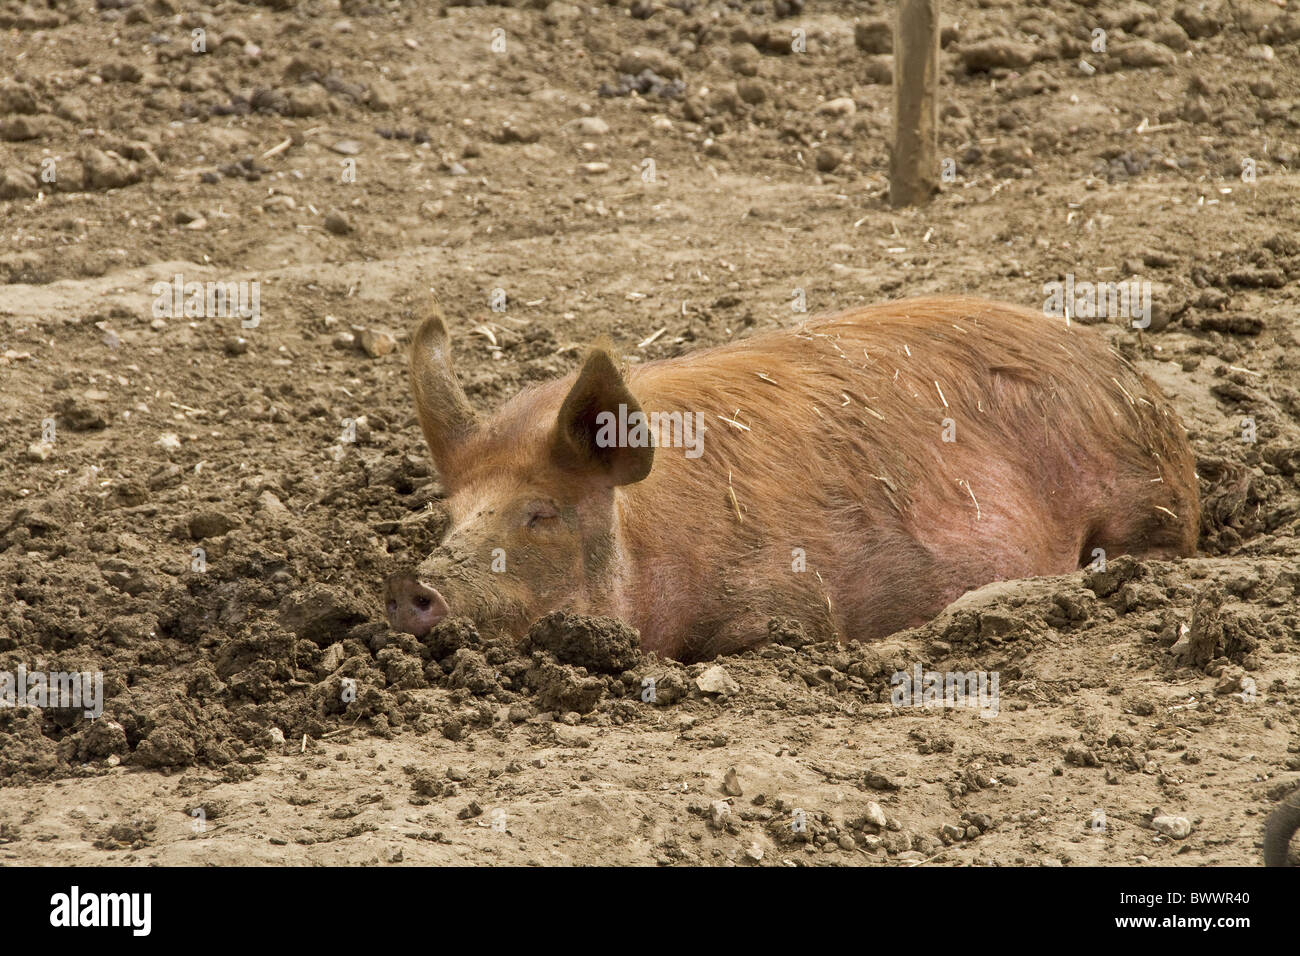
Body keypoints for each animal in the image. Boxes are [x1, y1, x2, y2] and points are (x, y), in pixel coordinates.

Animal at [385, 295, 1199, 661]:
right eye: (452, 514)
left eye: (542, 512)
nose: (408, 585)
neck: (651, 536)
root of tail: (1132, 373)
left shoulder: (790, 607)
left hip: (1144, 506)